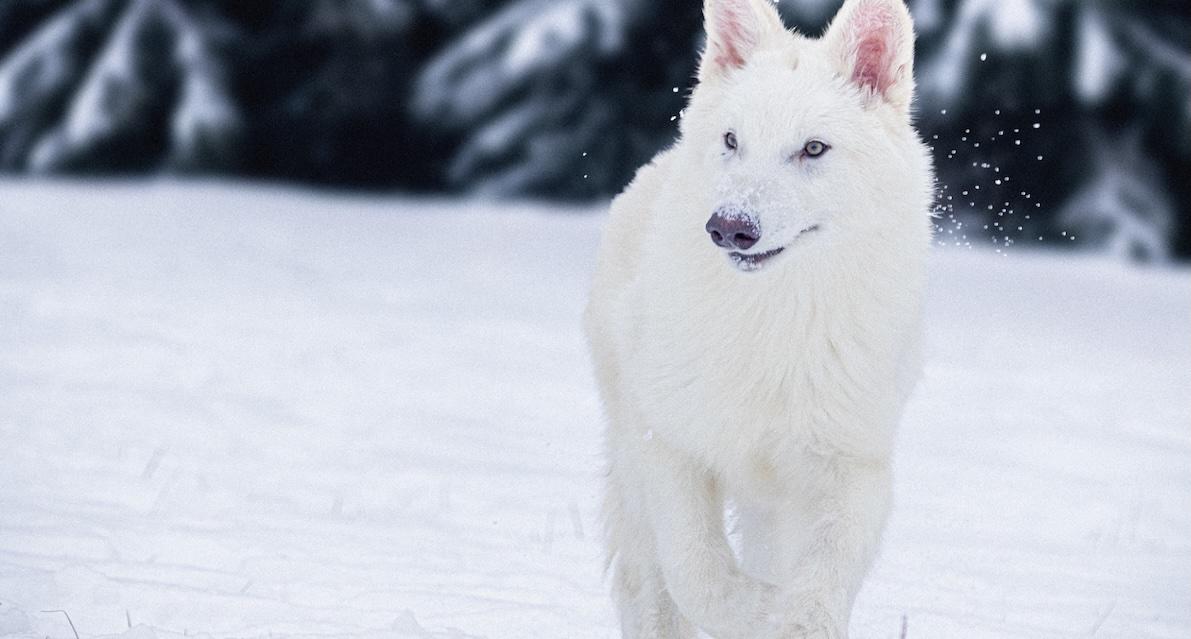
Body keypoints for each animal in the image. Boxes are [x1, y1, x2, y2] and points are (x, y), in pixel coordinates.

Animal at [583, 0, 933, 637]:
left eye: (813, 149)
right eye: (732, 140)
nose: (729, 227)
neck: (774, 320)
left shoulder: (853, 468)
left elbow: (820, 590)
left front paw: (793, 616)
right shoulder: (669, 447)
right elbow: (700, 575)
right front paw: (763, 609)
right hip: (631, 456)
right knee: (649, 583)